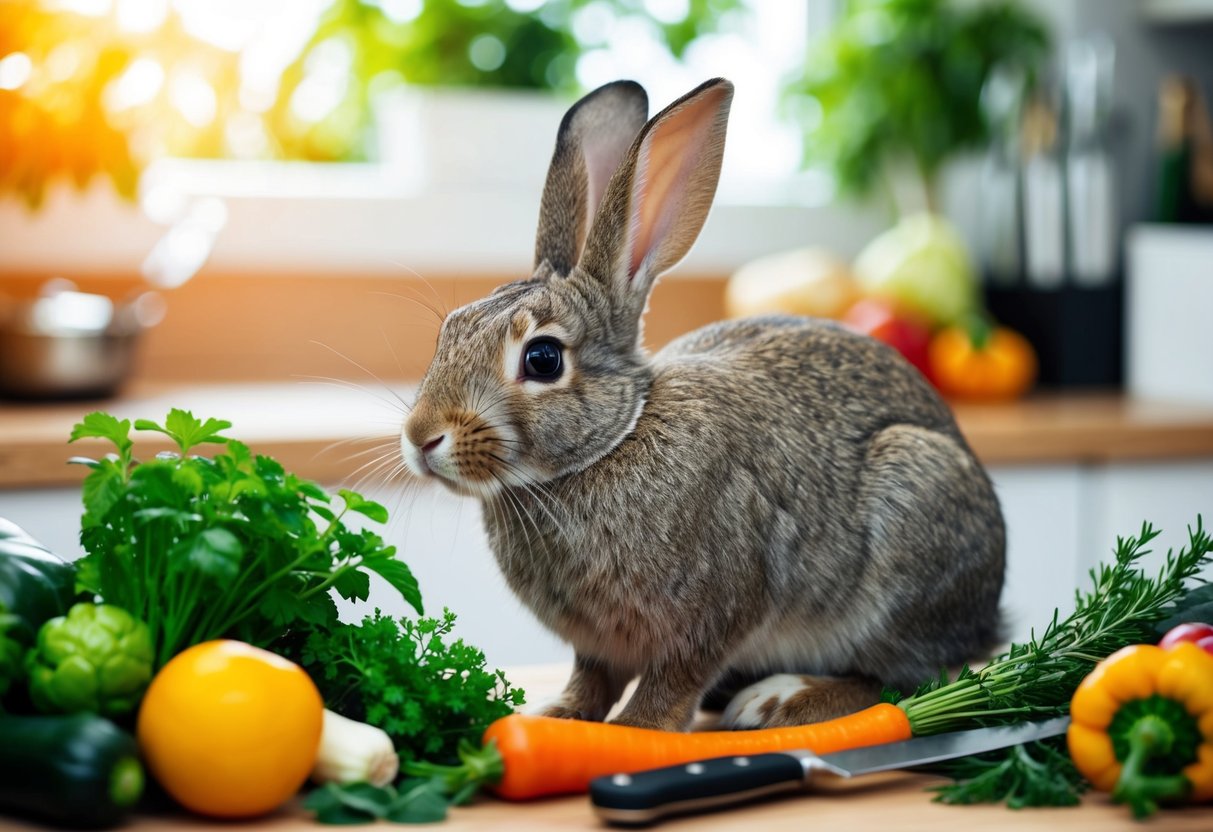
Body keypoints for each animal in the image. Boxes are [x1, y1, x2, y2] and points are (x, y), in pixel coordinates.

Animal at [400, 78, 1006, 732]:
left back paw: (781, 699)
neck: (612, 443)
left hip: (910, 522)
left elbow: (675, 677)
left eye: (542, 359)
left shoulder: (719, 606)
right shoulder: (596, 645)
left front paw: (637, 731)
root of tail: (989, 615)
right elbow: (592, 678)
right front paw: (558, 717)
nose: (421, 437)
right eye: (450, 330)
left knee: (900, 680)